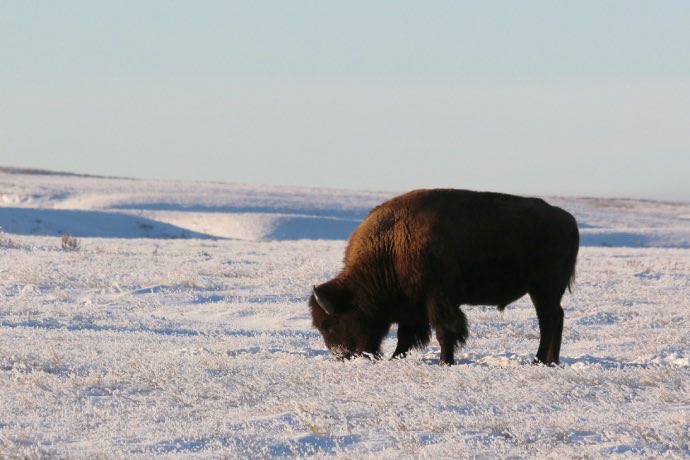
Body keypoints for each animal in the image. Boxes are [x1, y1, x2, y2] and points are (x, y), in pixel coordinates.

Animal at [309, 189, 579, 365]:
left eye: (332, 324)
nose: (342, 356)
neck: (393, 244)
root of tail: (569, 220)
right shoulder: (414, 307)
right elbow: (406, 336)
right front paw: (396, 357)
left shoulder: (437, 299)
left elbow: (443, 331)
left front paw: (444, 362)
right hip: (543, 293)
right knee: (554, 319)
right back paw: (550, 360)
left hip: (544, 290)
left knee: (549, 321)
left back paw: (541, 360)